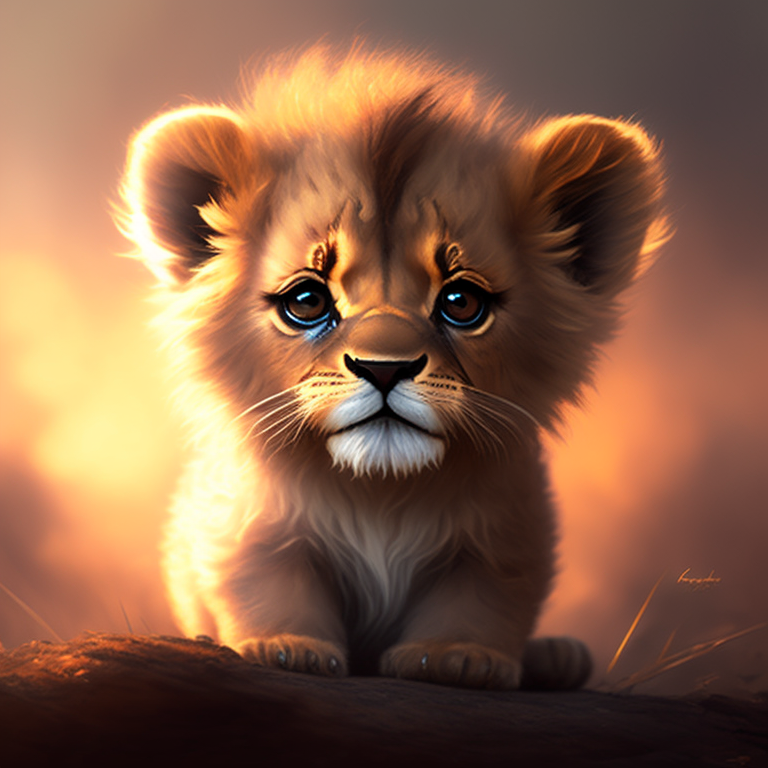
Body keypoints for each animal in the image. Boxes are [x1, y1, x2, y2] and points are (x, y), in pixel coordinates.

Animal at [118, 47, 665, 689]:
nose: (385, 369)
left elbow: (480, 598)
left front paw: (458, 657)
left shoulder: (508, 537)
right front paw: (287, 646)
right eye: (307, 301)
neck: (382, 495)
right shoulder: (247, 529)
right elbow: (269, 582)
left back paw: (559, 655)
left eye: (462, 302)